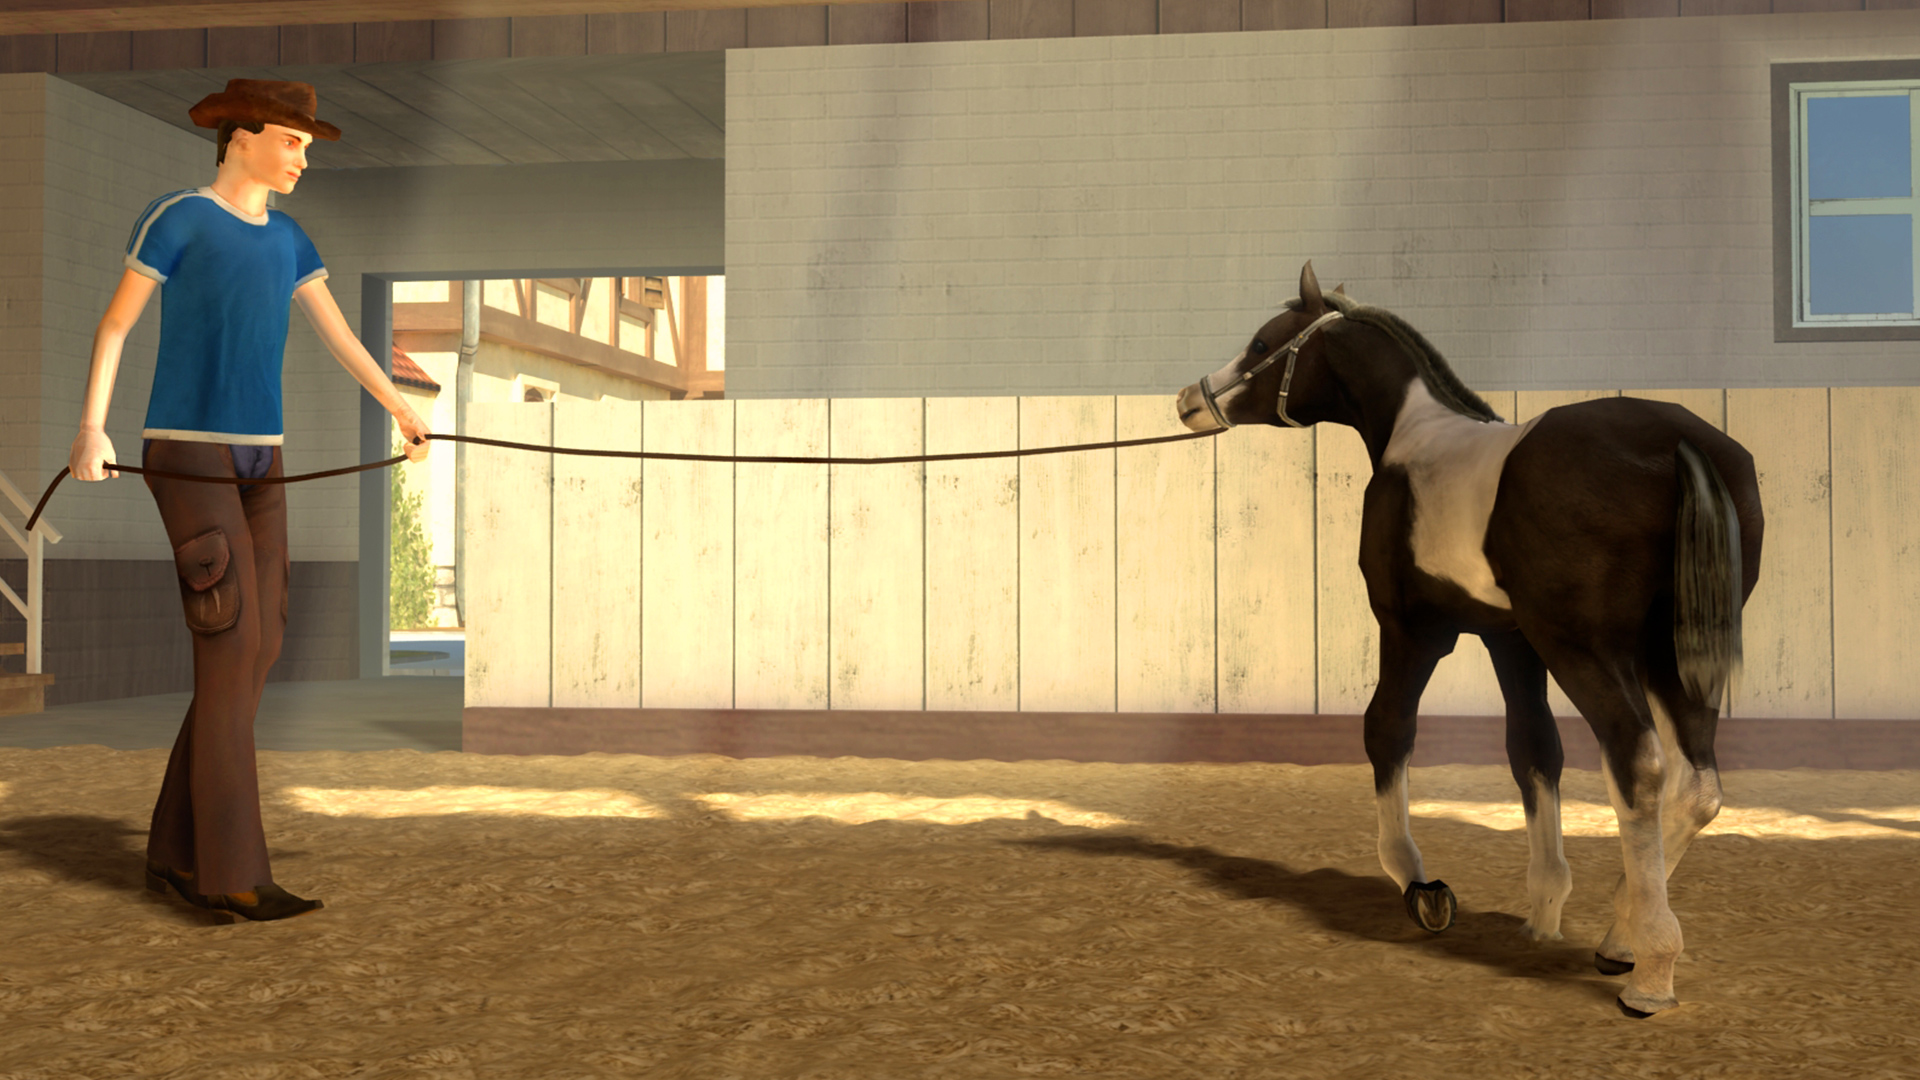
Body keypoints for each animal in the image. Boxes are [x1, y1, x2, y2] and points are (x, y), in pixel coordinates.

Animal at [1174, 261, 1762, 1018]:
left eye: (1262, 342)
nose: (1189, 400)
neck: (1413, 437)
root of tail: (1681, 445)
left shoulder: (1414, 629)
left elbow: (1387, 729)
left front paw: (1418, 883)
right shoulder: (1511, 641)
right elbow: (1533, 750)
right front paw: (1544, 910)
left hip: (1590, 650)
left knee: (1640, 766)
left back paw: (1650, 972)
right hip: (1674, 655)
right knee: (1699, 784)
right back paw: (1620, 937)